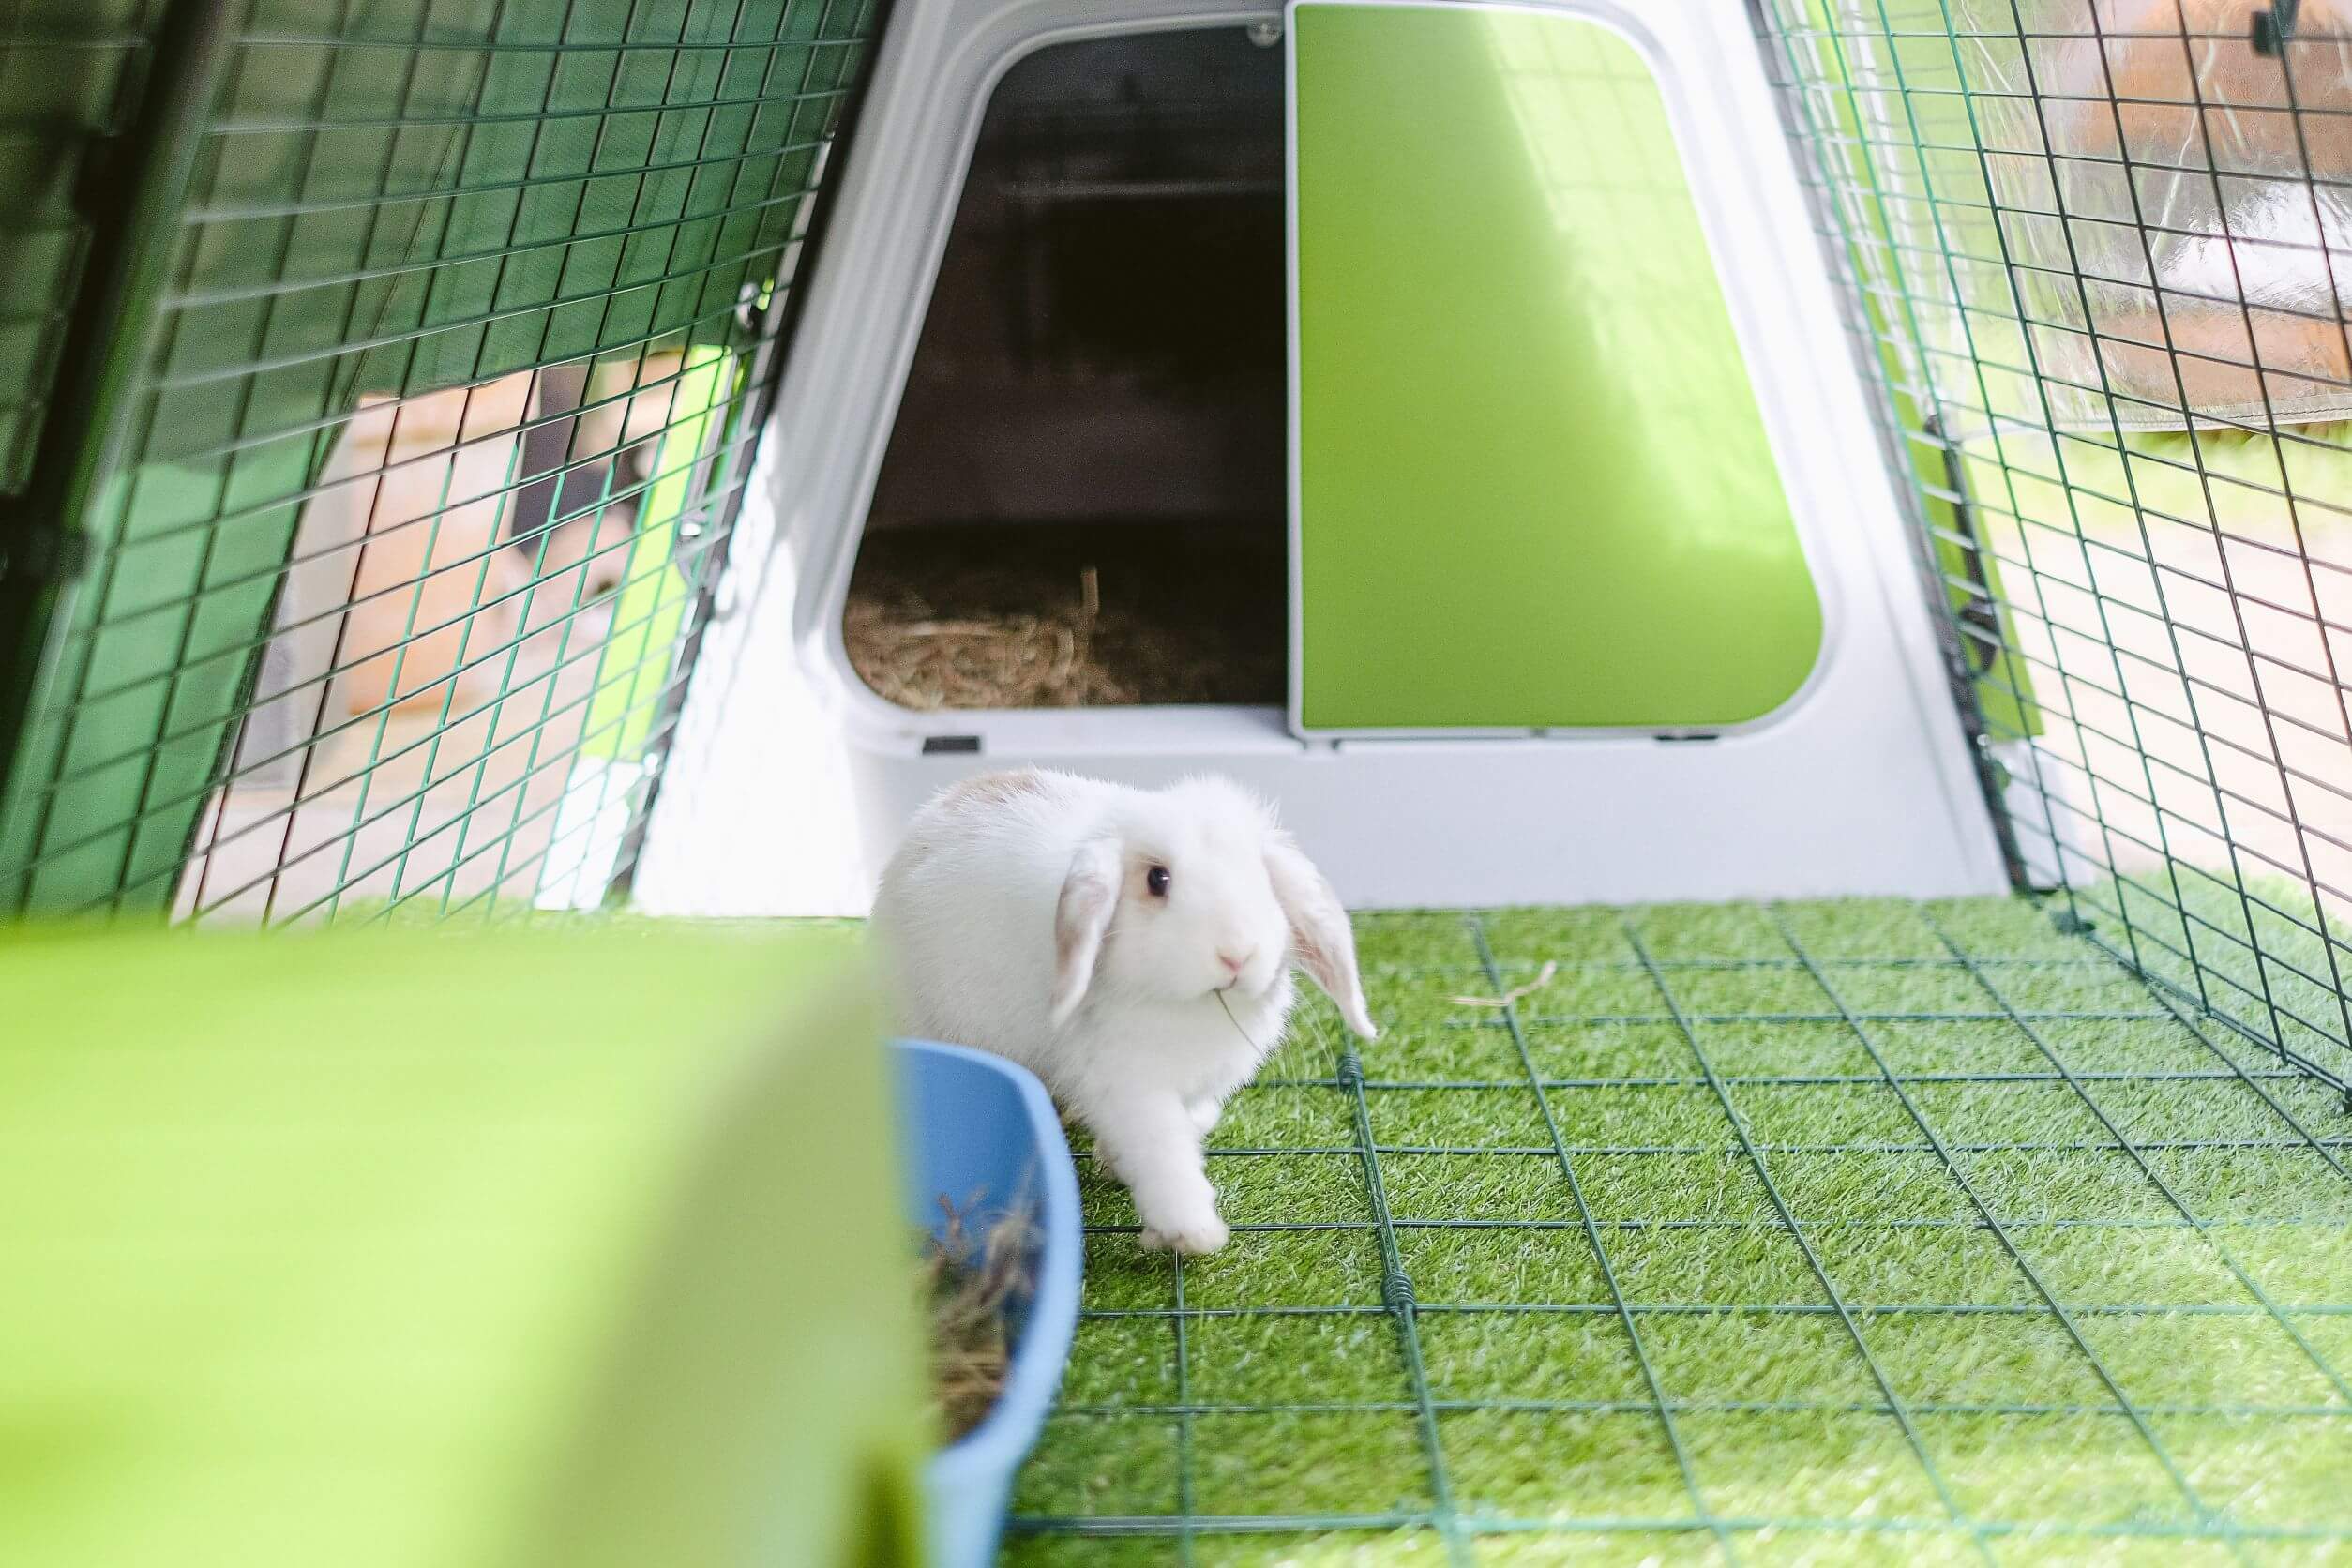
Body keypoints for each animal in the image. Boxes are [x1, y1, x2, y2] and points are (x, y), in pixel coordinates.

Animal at [869, 768, 1378, 1254]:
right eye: (1158, 879)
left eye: (1263, 880)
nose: (1237, 955)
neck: (1190, 1005)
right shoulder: (1131, 1089)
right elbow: (1165, 1157)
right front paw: (1193, 1234)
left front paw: (1121, 1164)